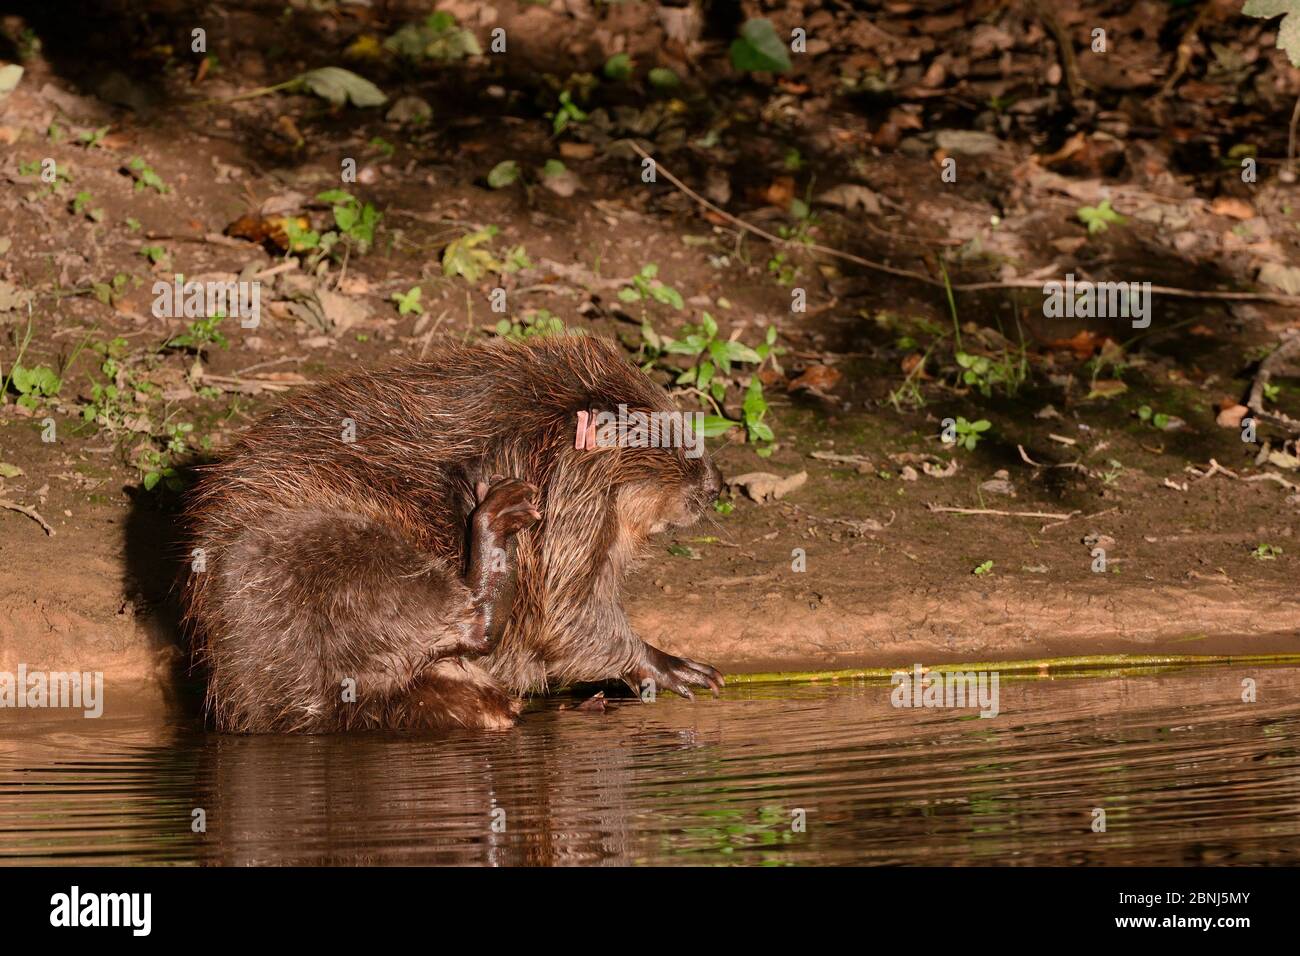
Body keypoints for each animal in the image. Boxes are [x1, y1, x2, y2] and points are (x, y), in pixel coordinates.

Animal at [182, 335, 724, 733]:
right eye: (676, 443)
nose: (716, 484)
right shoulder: (575, 488)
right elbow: (567, 614)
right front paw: (680, 669)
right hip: (336, 548)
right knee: (467, 624)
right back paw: (497, 514)